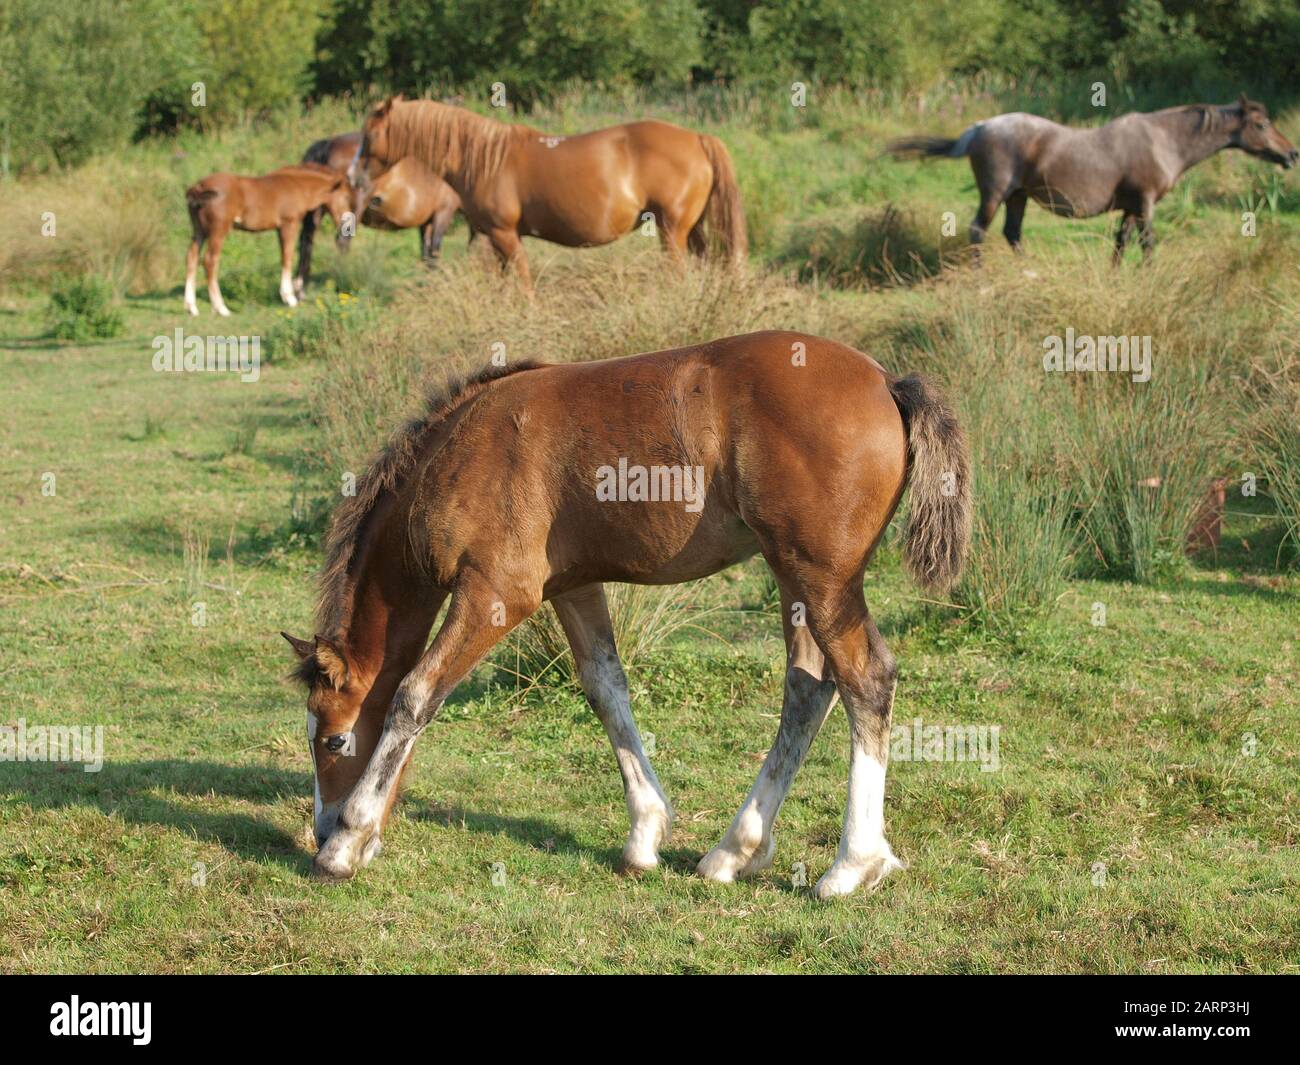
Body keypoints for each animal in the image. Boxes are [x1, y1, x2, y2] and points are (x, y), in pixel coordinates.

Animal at [184, 164, 350, 316]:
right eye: (346, 197)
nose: (347, 228)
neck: (297, 185)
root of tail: (198, 187)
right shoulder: (289, 224)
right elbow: (288, 257)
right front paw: (289, 298)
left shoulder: (279, 228)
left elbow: (284, 256)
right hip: (218, 231)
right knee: (210, 261)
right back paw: (221, 308)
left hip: (199, 230)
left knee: (192, 257)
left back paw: (191, 306)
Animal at [281, 330, 971, 899]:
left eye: (334, 738)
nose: (320, 828)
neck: (462, 448)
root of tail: (886, 383)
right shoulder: (573, 587)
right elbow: (606, 689)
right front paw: (645, 834)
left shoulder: (496, 594)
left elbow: (415, 694)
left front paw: (347, 845)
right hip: (798, 580)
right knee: (809, 688)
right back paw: (732, 852)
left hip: (819, 577)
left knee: (865, 679)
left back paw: (852, 865)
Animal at [353, 96, 748, 291]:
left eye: (369, 134)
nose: (354, 177)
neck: (484, 158)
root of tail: (698, 138)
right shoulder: (494, 239)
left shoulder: (505, 234)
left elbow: (524, 282)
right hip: (692, 228)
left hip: (671, 229)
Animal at [888, 95, 1298, 262]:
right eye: (1262, 124)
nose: (1292, 153)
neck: (1163, 140)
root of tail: (980, 127)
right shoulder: (1145, 203)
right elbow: (1147, 243)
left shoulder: (1131, 206)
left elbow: (1121, 243)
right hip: (996, 192)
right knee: (978, 230)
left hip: (1018, 195)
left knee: (1012, 233)